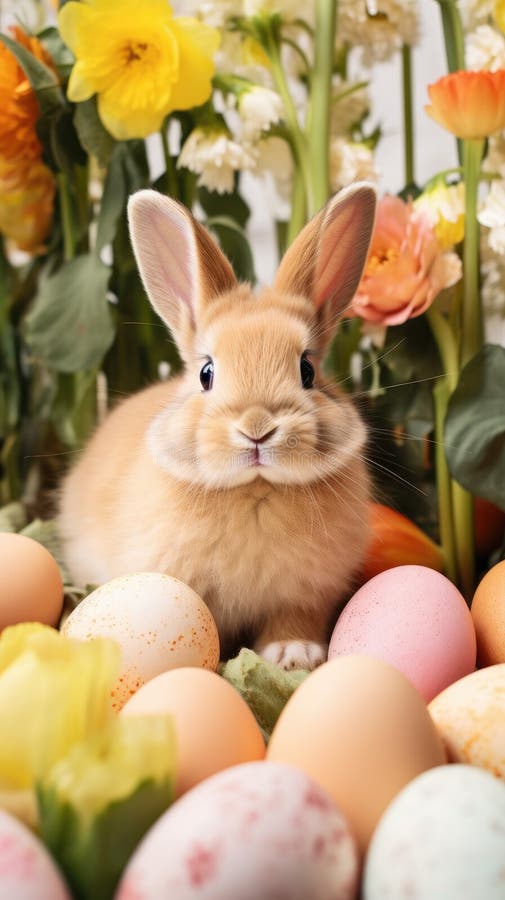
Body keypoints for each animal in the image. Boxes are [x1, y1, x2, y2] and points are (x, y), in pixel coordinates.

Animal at [58, 182, 377, 670]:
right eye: (206, 373)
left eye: (307, 370)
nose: (257, 428)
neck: (256, 490)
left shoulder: (306, 592)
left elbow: (294, 620)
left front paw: (292, 655)